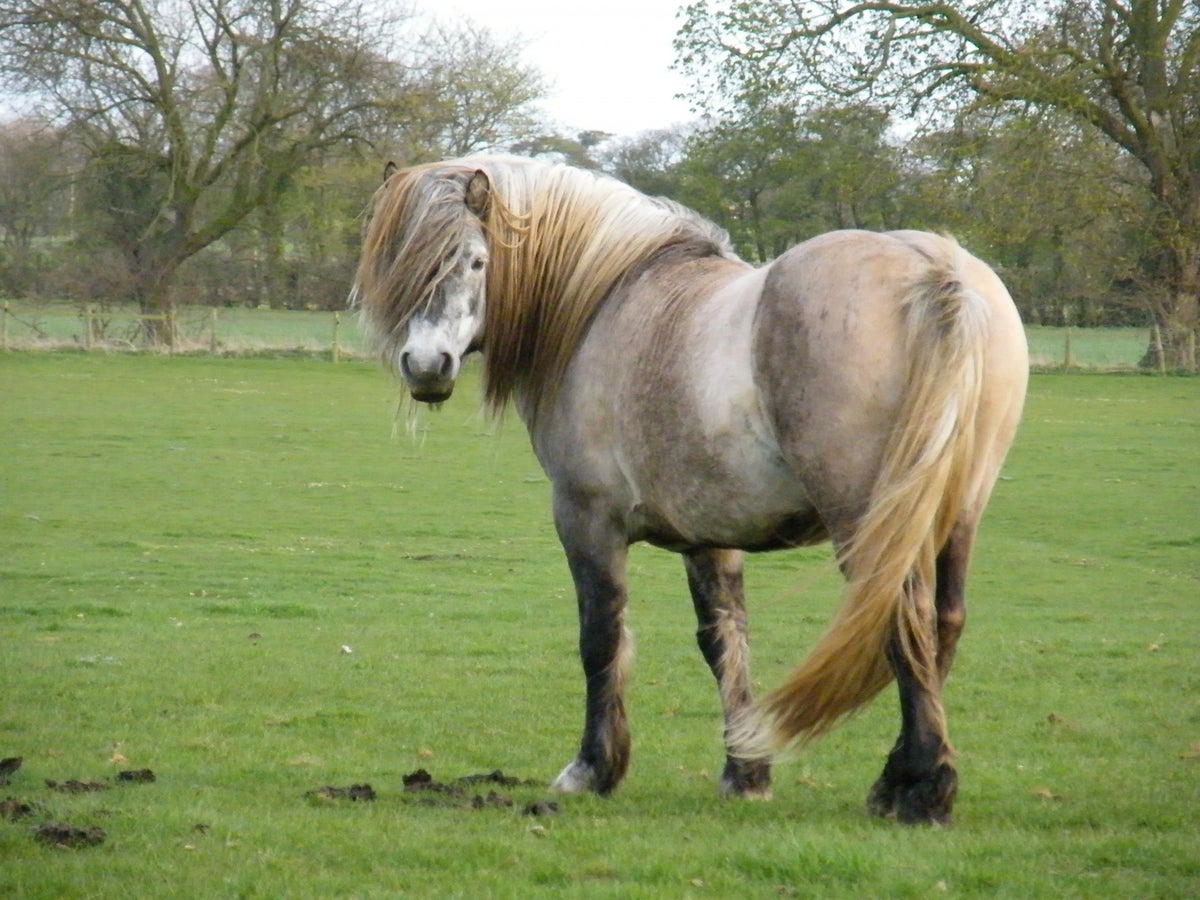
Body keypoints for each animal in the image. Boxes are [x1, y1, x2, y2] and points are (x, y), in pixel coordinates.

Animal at [352, 155, 1028, 824]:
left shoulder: (586, 518)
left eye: (474, 261)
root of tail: (935, 267)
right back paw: (901, 780)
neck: (604, 303)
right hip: (956, 515)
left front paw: (592, 769)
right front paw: (745, 773)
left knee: (901, 617)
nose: (426, 366)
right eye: (399, 262)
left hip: (869, 519)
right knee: (941, 622)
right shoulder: (712, 532)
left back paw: (921, 790)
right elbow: (723, 638)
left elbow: (600, 635)